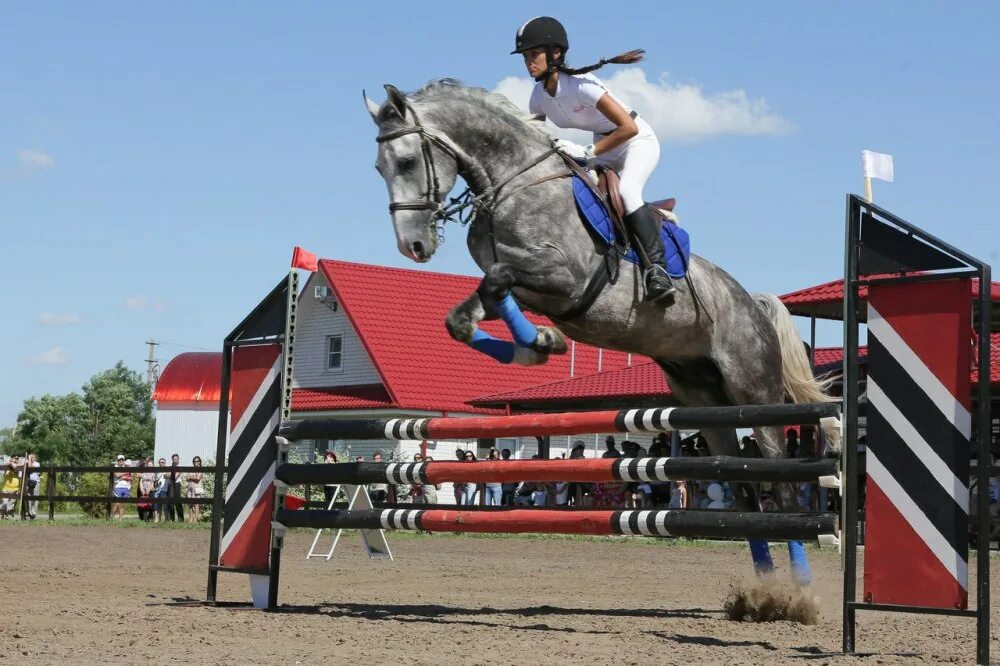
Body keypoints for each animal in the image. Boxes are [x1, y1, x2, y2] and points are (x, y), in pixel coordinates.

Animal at [368, 79, 836, 580]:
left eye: (407, 161)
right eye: (379, 167)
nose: (413, 246)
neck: (513, 182)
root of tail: (755, 305)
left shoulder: (565, 277)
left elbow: (496, 280)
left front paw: (539, 343)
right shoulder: (529, 290)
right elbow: (471, 309)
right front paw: (538, 345)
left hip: (753, 390)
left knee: (778, 483)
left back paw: (800, 585)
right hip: (704, 398)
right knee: (742, 484)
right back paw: (766, 582)